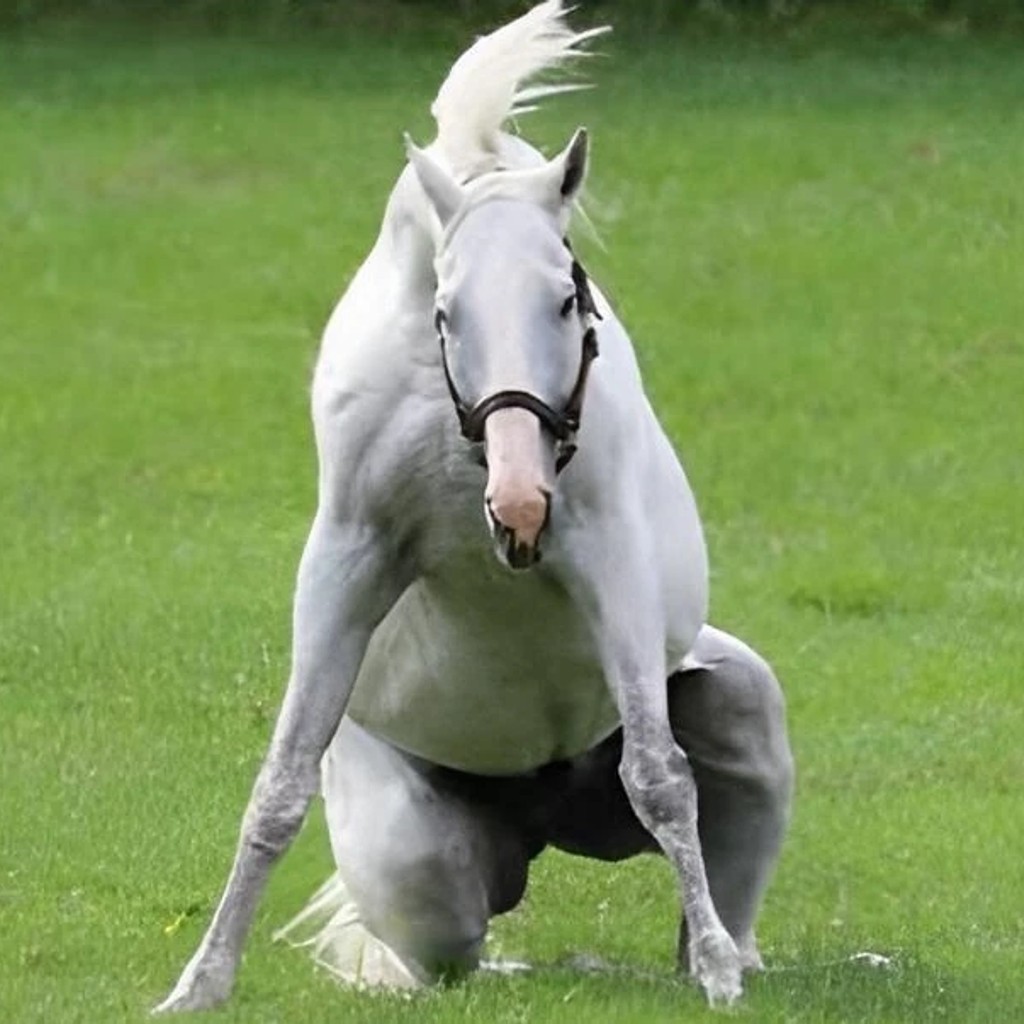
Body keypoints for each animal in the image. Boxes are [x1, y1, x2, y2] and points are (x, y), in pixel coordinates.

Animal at [154, 1, 794, 1012]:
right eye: (446, 312)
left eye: (569, 298)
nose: (522, 503)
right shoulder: (346, 564)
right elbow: (278, 788)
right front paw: (202, 982)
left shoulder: (612, 563)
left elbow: (660, 777)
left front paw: (723, 979)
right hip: (424, 875)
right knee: (443, 949)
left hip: (736, 695)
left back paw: (724, 952)